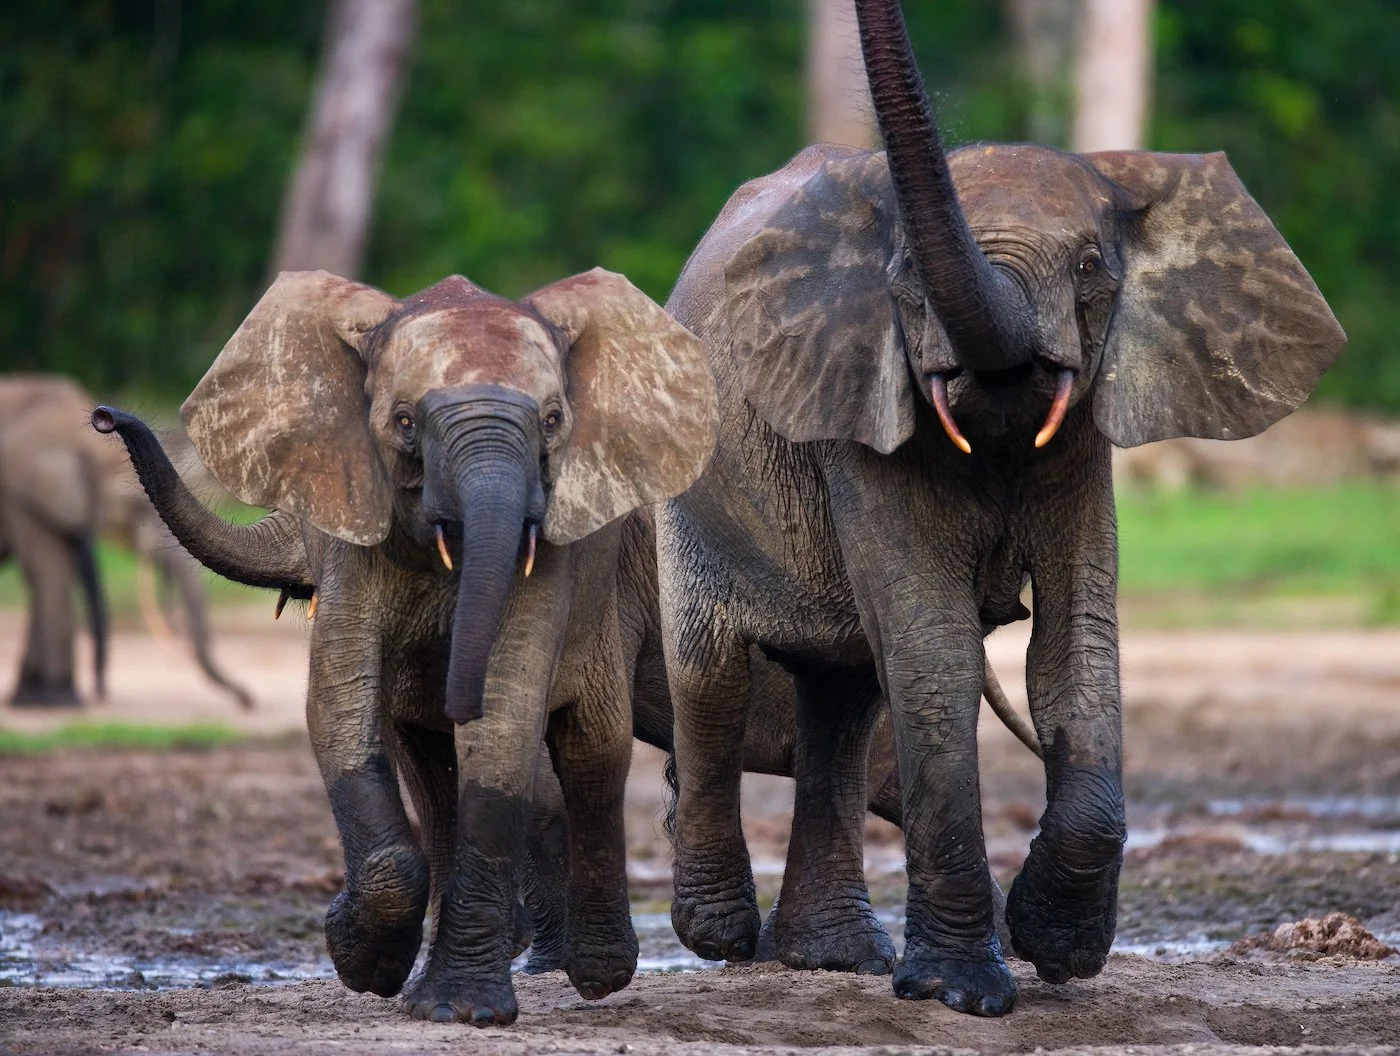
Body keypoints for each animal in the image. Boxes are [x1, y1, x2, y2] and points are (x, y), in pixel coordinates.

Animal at [0, 374, 252, 709]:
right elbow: (48, 574)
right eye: (135, 508)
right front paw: (59, 701)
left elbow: (50, 573)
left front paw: (39, 698)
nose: (248, 701)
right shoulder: (19, 494)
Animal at [92, 266, 717, 1026]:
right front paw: (372, 967)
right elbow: (346, 709)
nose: (105, 416)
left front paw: (452, 1008)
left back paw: (599, 975)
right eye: (403, 422)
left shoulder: (556, 553)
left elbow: (501, 722)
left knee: (592, 752)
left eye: (552, 422)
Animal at [654, 0, 1345, 1017]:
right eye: (903, 278)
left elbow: (1078, 642)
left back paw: (833, 957)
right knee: (712, 676)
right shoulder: (863, 415)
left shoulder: (1083, 441)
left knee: (843, 696)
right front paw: (964, 990)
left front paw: (1056, 949)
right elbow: (934, 653)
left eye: (1092, 266)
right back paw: (722, 937)